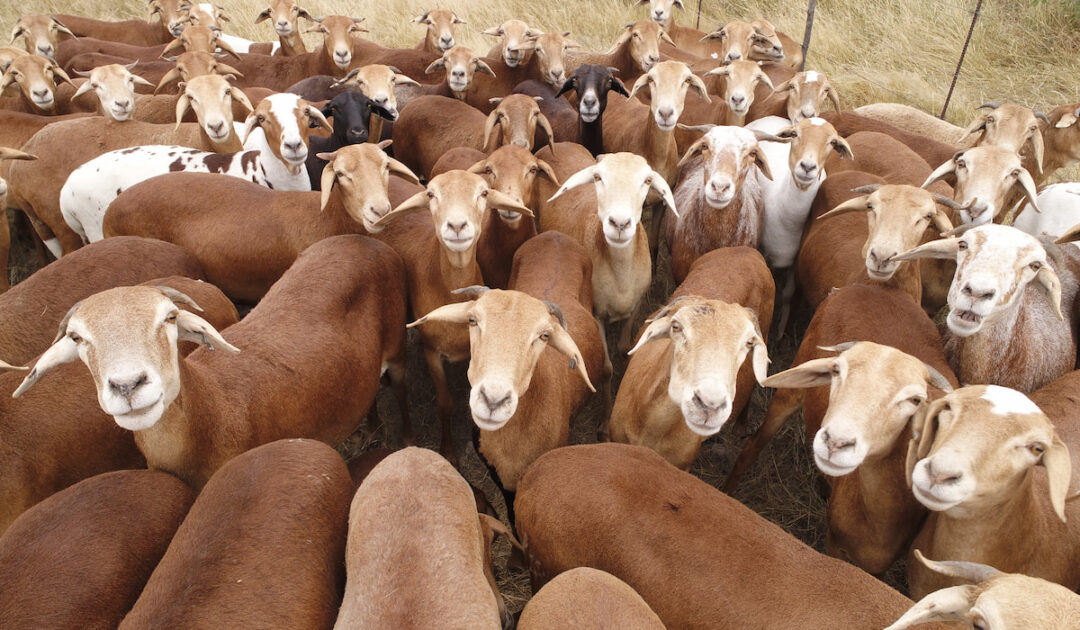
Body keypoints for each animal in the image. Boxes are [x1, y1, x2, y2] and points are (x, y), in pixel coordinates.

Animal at [12, 235, 409, 489]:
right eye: (76, 338)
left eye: (170, 318)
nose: (128, 385)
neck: (215, 407)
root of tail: (361, 239)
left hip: (398, 350)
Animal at [60, 92, 323, 244]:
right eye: (262, 119)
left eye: (306, 112)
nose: (293, 145)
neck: (262, 168)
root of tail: (67, 190)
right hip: (95, 224)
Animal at [365, 170, 533, 464]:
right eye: (431, 194)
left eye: (483, 193)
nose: (456, 225)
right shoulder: (432, 352)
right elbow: (445, 404)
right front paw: (449, 453)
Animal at [540, 149, 678, 351]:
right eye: (597, 177)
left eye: (647, 180)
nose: (620, 223)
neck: (621, 276)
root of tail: (561, 145)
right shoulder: (597, 314)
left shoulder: (635, 307)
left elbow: (623, 347)